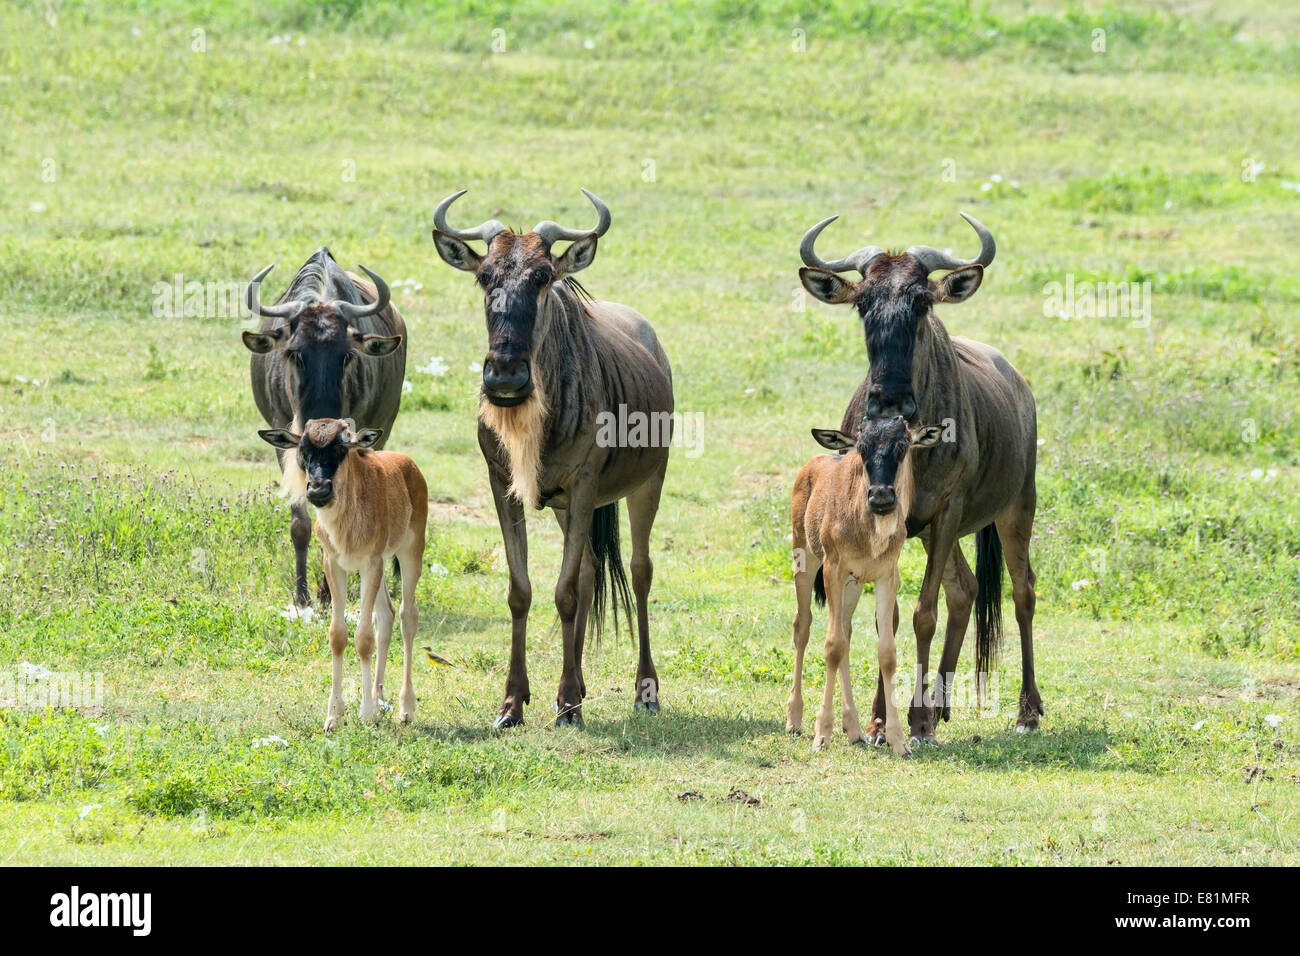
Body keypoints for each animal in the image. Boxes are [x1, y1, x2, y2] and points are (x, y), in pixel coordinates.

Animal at [243, 248, 406, 606]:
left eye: (347, 356)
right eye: (293, 353)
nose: (320, 423)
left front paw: (328, 592)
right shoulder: (284, 442)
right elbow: (301, 522)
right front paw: (304, 595)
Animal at [259, 418, 427, 731]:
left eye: (341, 447)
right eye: (303, 449)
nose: (318, 490)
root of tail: (408, 464)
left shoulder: (371, 563)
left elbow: (363, 638)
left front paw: (366, 714)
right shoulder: (335, 564)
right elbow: (338, 635)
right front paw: (334, 716)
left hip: (410, 552)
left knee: (407, 616)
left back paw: (405, 708)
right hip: (379, 566)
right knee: (385, 615)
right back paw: (377, 696)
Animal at [430, 188, 674, 729]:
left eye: (543, 277)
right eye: (485, 276)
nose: (504, 377)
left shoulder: (584, 486)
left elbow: (563, 592)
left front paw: (565, 706)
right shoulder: (504, 485)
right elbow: (522, 590)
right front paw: (513, 704)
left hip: (648, 483)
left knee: (639, 570)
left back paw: (643, 693)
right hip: (567, 507)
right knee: (587, 571)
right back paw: (578, 687)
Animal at [789, 416, 944, 756]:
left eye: (903, 446)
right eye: (861, 447)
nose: (881, 497)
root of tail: (811, 466)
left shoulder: (886, 576)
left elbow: (885, 651)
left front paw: (898, 742)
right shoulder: (833, 568)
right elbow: (831, 645)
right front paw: (822, 735)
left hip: (854, 584)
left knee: (845, 631)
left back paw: (854, 729)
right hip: (804, 557)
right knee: (803, 626)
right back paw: (794, 719)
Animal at [797, 212, 1042, 739]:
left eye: (922, 302)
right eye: (863, 304)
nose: (889, 399)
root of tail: (1017, 382)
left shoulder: (948, 512)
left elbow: (922, 613)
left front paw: (915, 720)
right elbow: (884, 618)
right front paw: (877, 719)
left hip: (1017, 508)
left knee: (1023, 591)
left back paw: (1026, 712)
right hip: (932, 534)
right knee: (965, 589)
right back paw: (942, 702)